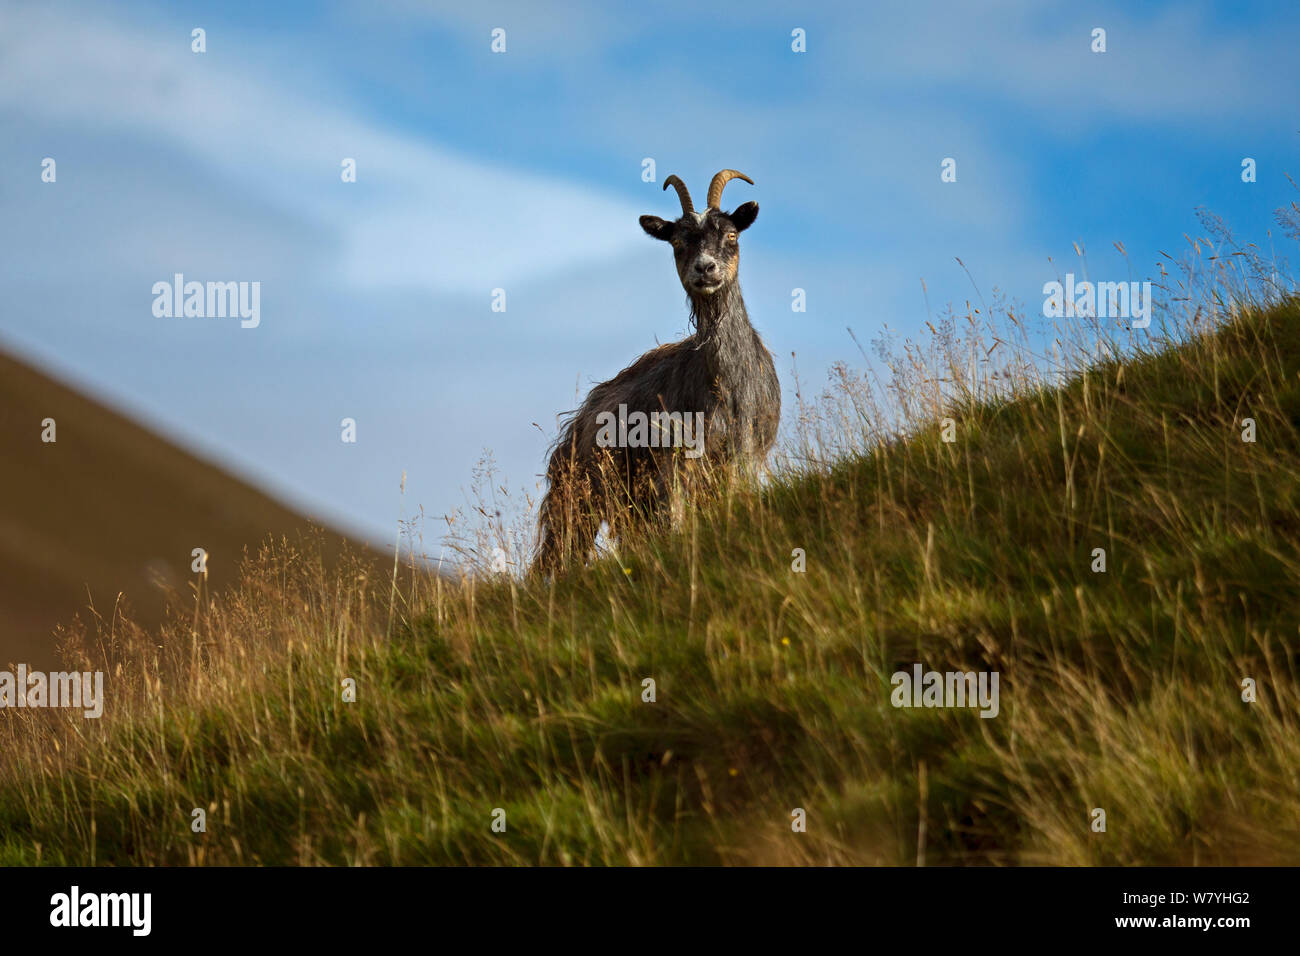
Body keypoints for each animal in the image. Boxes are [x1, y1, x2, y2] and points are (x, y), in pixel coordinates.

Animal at [532, 169, 781, 574]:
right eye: (677, 242)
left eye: (731, 234)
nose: (705, 268)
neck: (728, 383)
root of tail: (578, 419)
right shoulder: (675, 467)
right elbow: (673, 522)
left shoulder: (743, 456)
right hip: (583, 491)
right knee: (562, 548)